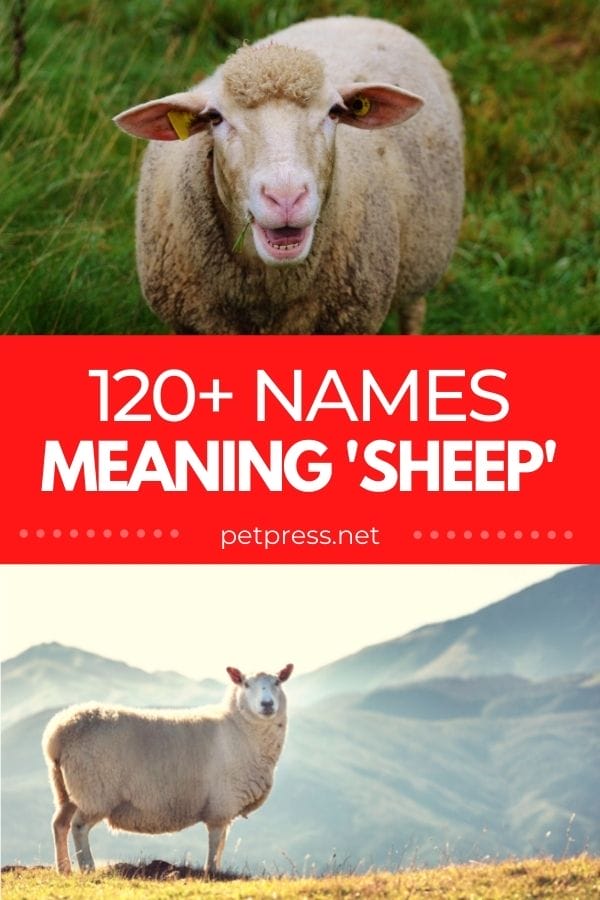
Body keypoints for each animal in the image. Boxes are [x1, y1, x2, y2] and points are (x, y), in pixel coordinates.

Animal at [41, 663, 293, 875]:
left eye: (277, 682)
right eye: (246, 684)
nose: (267, 704)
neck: (238, 728)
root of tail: (57, 734)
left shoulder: (224, 806)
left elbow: (221, 843)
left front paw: (217, 870)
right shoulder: (221, 803)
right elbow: (215, 842)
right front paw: (211, 872)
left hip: (66, 789)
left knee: (59, 824)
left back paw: (64, 869)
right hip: (94, 791)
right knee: (79, 826)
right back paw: (87, 868)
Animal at [113, 15, 464, 335]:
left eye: (334, 112)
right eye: (215, 117)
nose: (286, 198)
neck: (268, 296)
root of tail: (362, 18)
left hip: (420, 261)